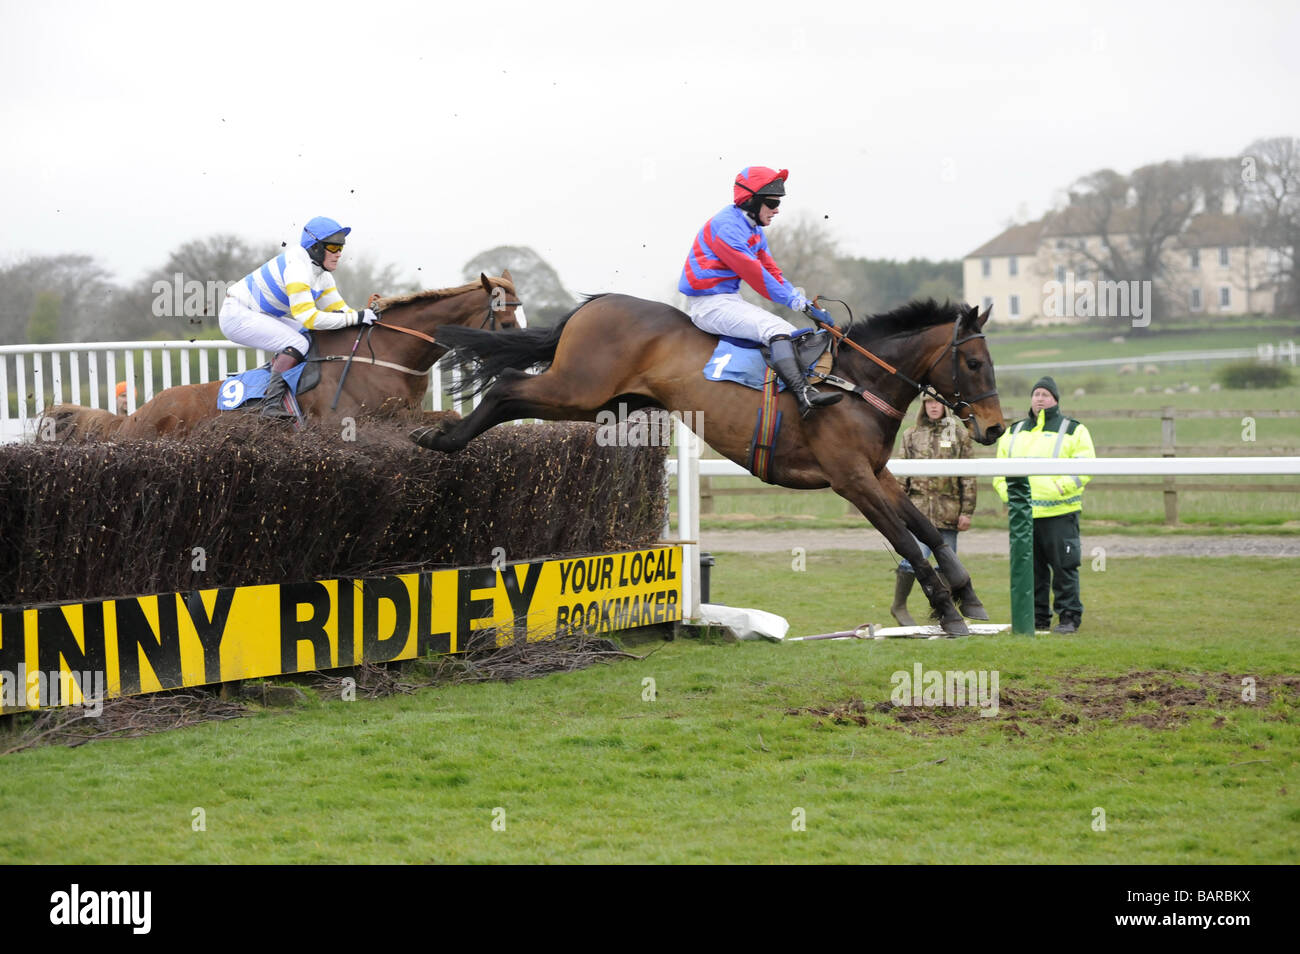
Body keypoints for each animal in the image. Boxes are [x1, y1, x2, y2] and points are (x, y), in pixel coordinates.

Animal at [107, 272, 522, 439]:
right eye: (505, 323)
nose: (524, 357)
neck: (384, 356)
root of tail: (131, 421)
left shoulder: (407, 412)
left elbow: (450, 415)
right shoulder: (351, 423)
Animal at [410, 295, 1005, 635]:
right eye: (976, 363)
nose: (995, 429)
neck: (853, 382)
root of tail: (594, 304)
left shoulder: (876, 473)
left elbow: (926, 526)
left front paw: (968, 595)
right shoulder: (851, 479)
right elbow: (906, 540)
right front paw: (948, 612)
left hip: (599, 400)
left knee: (510, 394)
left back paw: (441, 436)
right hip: (577, 387)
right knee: (507, 386)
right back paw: (441, 438)